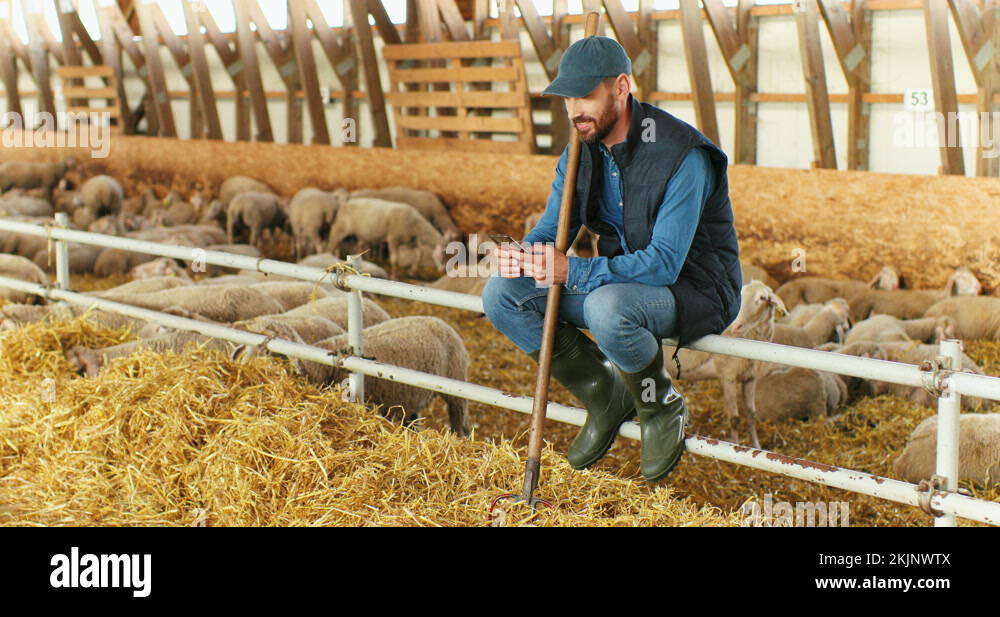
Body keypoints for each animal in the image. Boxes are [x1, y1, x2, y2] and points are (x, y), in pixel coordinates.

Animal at [294, 316, 471, 435]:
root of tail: (440, 322)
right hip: (413, 396)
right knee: (412, 418)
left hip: (456, 382)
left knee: (458, 414)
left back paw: (458, 435)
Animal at [714, 280, 789, 448]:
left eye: (762, 298)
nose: (736, 326)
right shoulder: (727, 375)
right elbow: (734, 419)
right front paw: (734, 448)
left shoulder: (750, 377)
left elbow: (751, 414)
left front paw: (756, 446)